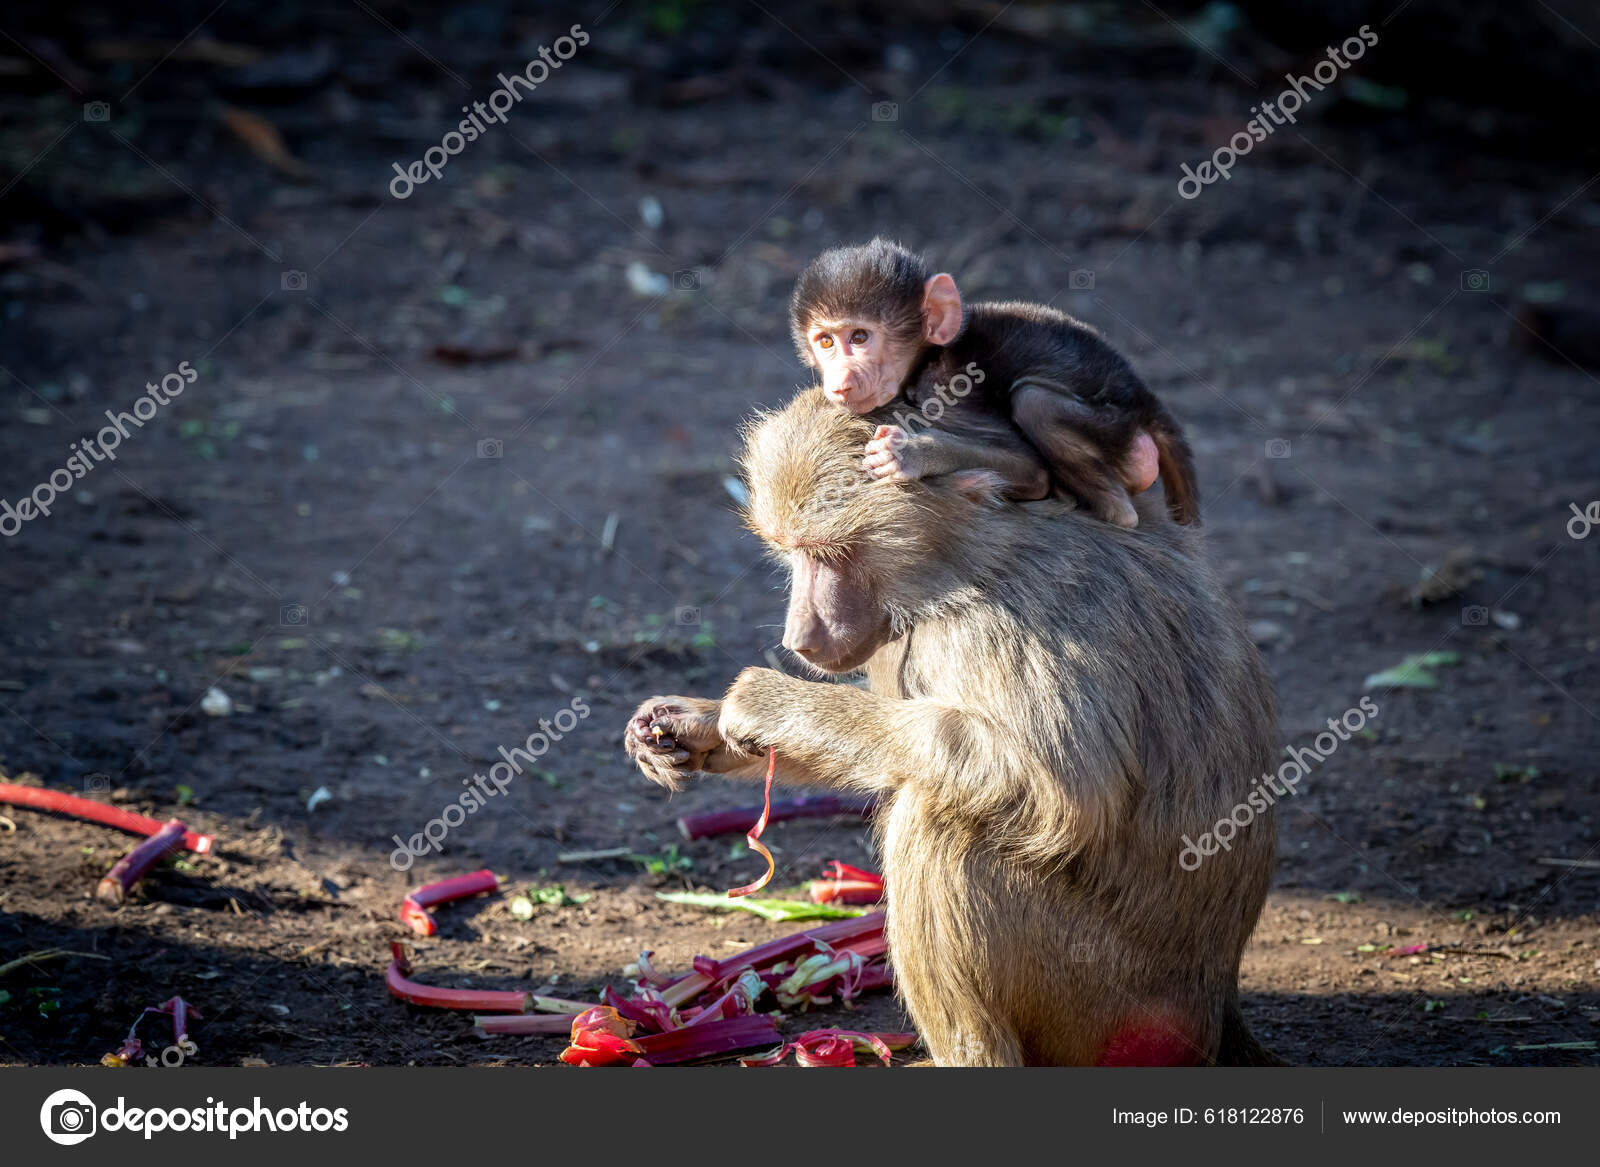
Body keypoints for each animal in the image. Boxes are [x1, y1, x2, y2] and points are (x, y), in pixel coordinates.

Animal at [623, 388, 1280, 1066]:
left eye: (828, 552)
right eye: (791, 550)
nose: (797, 639)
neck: (977, 552)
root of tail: (1213, 1011)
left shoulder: (1004, 623)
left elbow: (1064, 784)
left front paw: (763, 702)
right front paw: (687, 727)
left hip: (1104, 1003)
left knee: (940, 822)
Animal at [788, 237, 1200, 528]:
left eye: (859, 337)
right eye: (826, 342)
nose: (839, 382)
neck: (929, 356)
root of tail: (1146, 401)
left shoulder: (951, 387)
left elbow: (1029, 469)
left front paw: (910, 453)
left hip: (1116, 428)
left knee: (1036, 403)